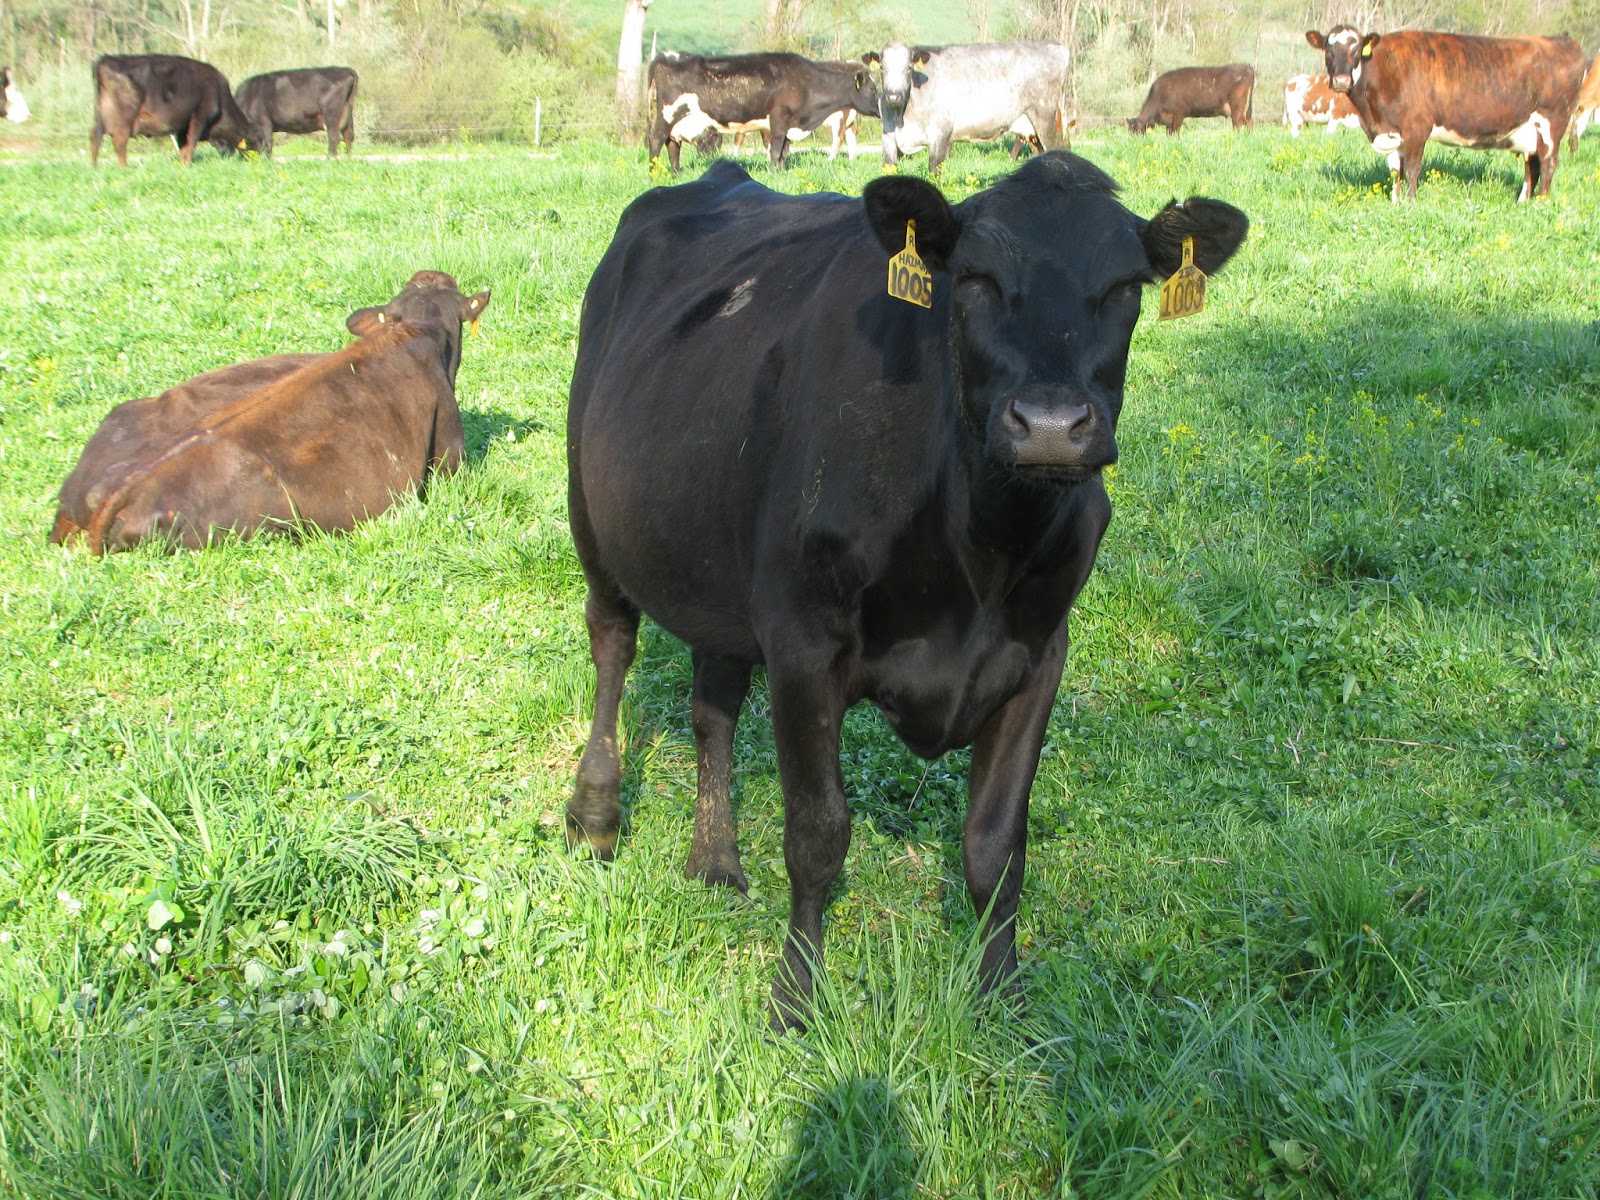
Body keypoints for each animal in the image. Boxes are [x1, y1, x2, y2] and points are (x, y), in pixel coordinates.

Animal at [90, 54, 267, 166]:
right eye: (259, 141)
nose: (262, 159)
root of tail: (107, 59)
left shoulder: (183, 125)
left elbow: (184, 146)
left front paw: (183, 165)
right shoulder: (198, 117)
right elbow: (191, 143)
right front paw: (188, 165)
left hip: (101, 114)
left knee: (95, 139)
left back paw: (95, 168)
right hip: (125, 116)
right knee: (119, 141)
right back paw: (123, 167)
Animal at [564, 153, 1248, 1030]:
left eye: (1126, 285)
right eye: (976, 278)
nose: (1051, 425)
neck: (982, 550)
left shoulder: (1040, 655)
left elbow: (996, 845)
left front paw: (1003, 999)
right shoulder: (802, 640)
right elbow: (818, 833)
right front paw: (796, 1000)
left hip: (721, 564)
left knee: (712, 707)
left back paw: (714, 860)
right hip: (593, 511)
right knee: (612, 643)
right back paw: (596, 815)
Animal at [648, 52, 880, 171]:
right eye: (872, 88)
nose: (882, 107)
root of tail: (665, 57)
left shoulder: (789, 124)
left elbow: (785, 151)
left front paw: (781, 171)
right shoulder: (778, 119)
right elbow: (776, 149)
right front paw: (773, 172)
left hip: (677, 121)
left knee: (672, 145)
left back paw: (676, 173)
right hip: (667, 114)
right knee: (656, 140)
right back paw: (654, 173)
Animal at [865, 41, 1071, 173]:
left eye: (908, 68)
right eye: (882, 68)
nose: (893, 95)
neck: (903, 115)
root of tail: (1058, 47)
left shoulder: (939, 135)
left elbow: (934, 171)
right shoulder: (888, 139)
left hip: (1045, 117)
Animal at [1306, 26, 1588, 200]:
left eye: (1355, 50)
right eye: (1329, 51)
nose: (1341, 80)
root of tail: (1561, 40)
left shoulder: (1417, 128)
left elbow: (1412, 169)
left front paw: (1410, 202)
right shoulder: (1391, 132)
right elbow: (1395, 171)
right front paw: (1395, 201)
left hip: (1553, 121)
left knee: (1549, 163)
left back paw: (1541, 202)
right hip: (1530, 129)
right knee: (1533, 166)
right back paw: (1523, 202)